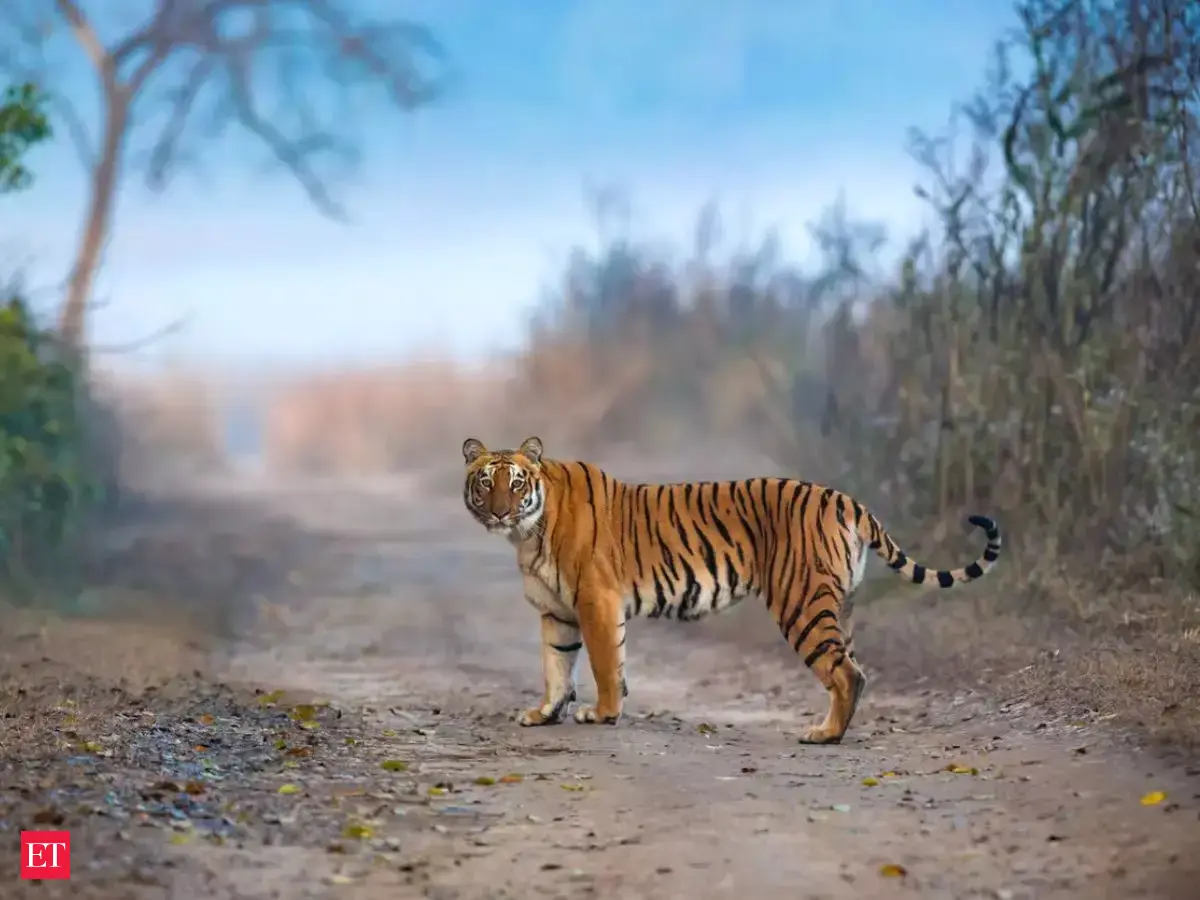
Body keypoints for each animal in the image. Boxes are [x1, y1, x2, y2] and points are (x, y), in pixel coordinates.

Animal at [461, 436, 1002, 744]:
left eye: (516, 482)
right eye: (485, 482)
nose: (500, 511)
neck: (527, 533)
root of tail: (844, 499)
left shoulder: (596, 601)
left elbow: (604, 663)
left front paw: (604, 713)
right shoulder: (558, 613)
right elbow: (556, 666)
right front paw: (544, 714)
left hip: (800, 603)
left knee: (847, 674)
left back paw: (823, 736)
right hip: (839, 606)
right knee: (853, 669)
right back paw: (835, 730)